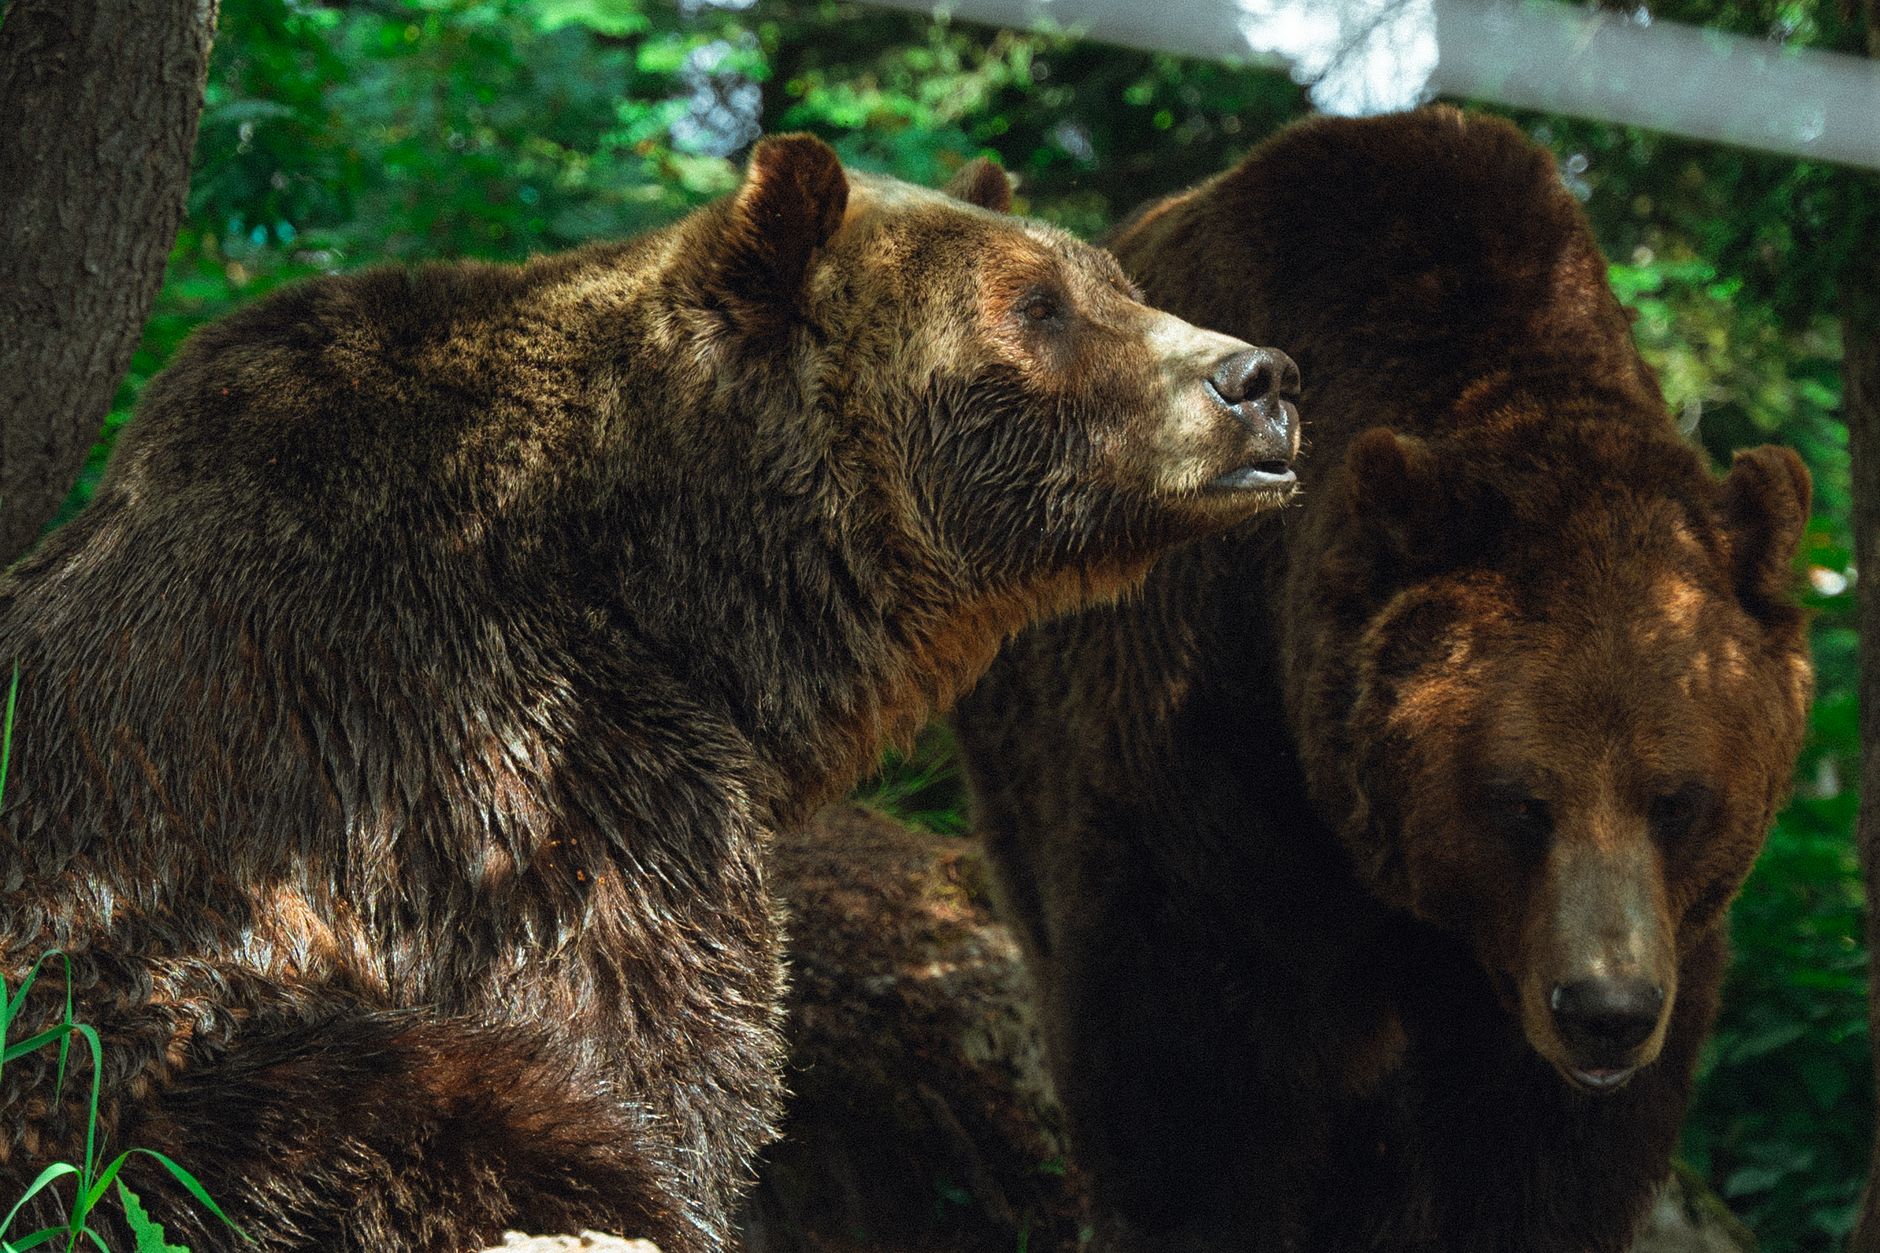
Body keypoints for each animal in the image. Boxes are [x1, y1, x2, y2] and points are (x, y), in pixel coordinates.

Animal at [0, 134, 1302, 1253]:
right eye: (1037, 305)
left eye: (1113, 277)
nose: (1260, 376)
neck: (668, 580)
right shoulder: (515, 761)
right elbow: (648, 1046)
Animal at [953, 107, 1813, 1253]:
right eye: (1520, 800)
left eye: (1677, 797)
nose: (1605, 1011)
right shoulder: (1203, 767)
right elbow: (1193, 1082)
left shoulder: (1617, 942)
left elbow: (1541, 1153)